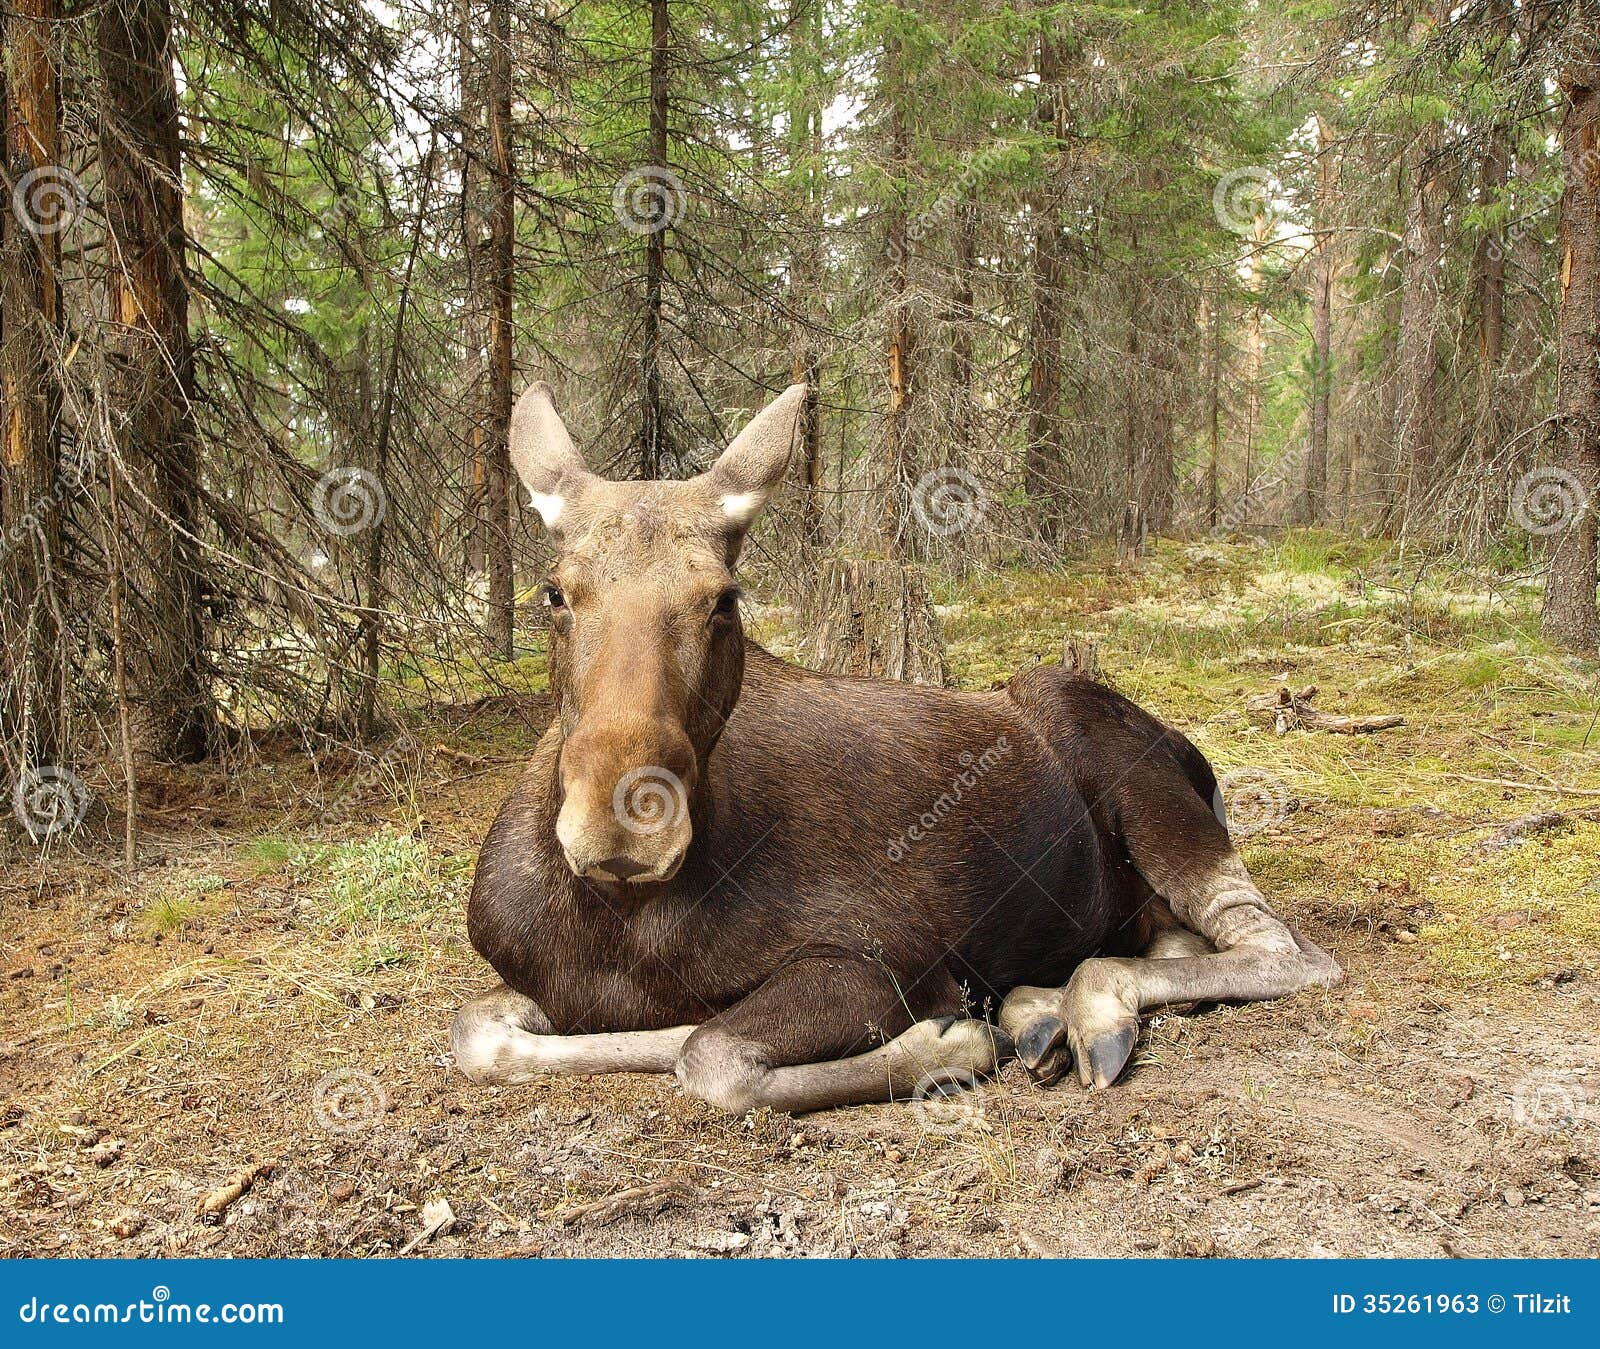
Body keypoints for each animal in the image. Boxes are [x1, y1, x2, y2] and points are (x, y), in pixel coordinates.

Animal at [451, 382, 1342, 1114]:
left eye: (724, 600)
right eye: (554, 593)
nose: (623, 826)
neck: (616, 921)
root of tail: (1189, 748)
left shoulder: (881, 954)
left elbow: (712, 1053)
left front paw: (952, 1035)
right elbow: (477, 1033)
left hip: (1128, 767)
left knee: (1285, 948)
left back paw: (1072, 1007)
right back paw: (1041, 1007)